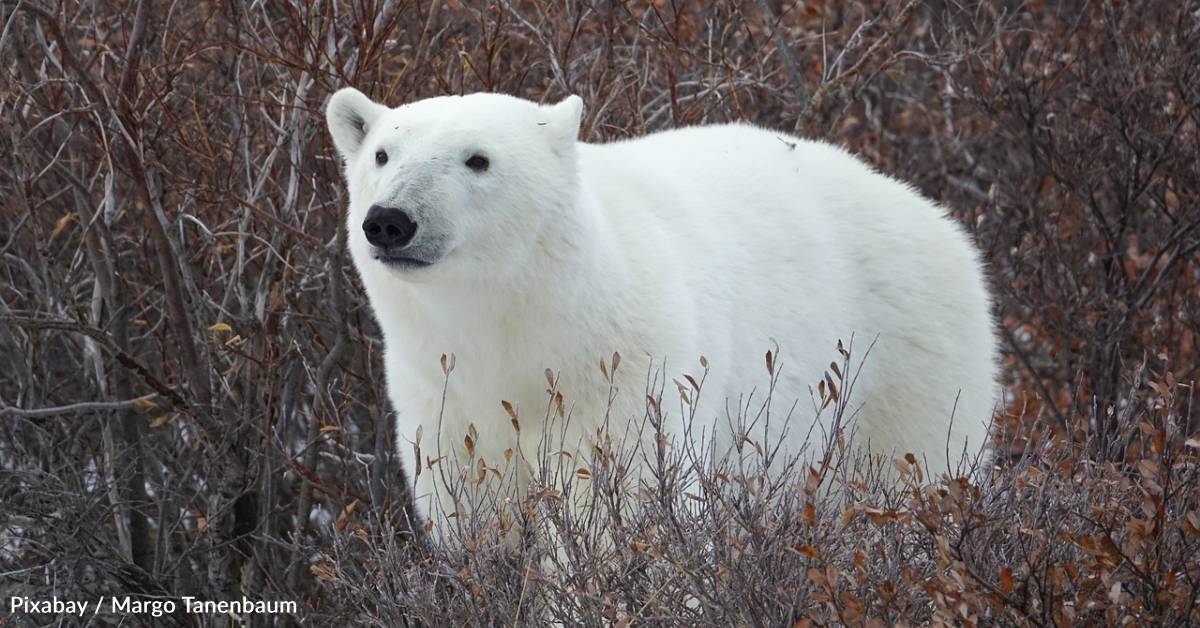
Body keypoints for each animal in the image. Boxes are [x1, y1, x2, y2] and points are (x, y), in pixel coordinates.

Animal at [325, 88, 1000, 542]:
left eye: (478, 159)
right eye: (382, 154)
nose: (391, 220)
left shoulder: (624, 370)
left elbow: (617, 507)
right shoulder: (440, 390)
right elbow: (471, 507)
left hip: (901, 363)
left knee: (910, 478)